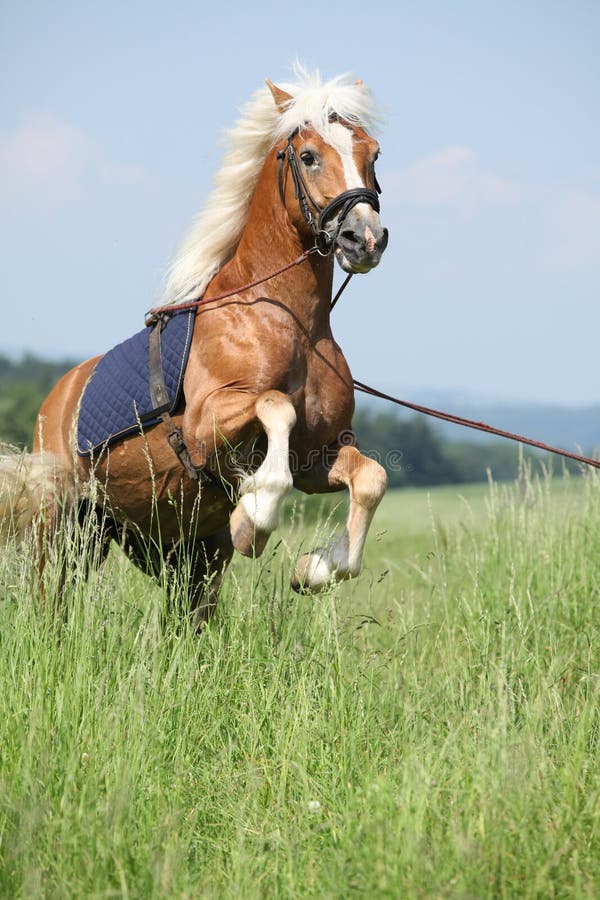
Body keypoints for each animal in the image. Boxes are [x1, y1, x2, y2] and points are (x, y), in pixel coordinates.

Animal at [0, 70, 389, 623]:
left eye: (372, 152)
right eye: (309, 155)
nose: (366, 239)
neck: (289, 322)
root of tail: (56, 401)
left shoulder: (316, 458)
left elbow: (372, 477)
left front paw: (314, 568)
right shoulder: (206, 427)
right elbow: (276, 406)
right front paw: (256, 514)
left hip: (183, 548)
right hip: (65, 532)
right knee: (50, 603)